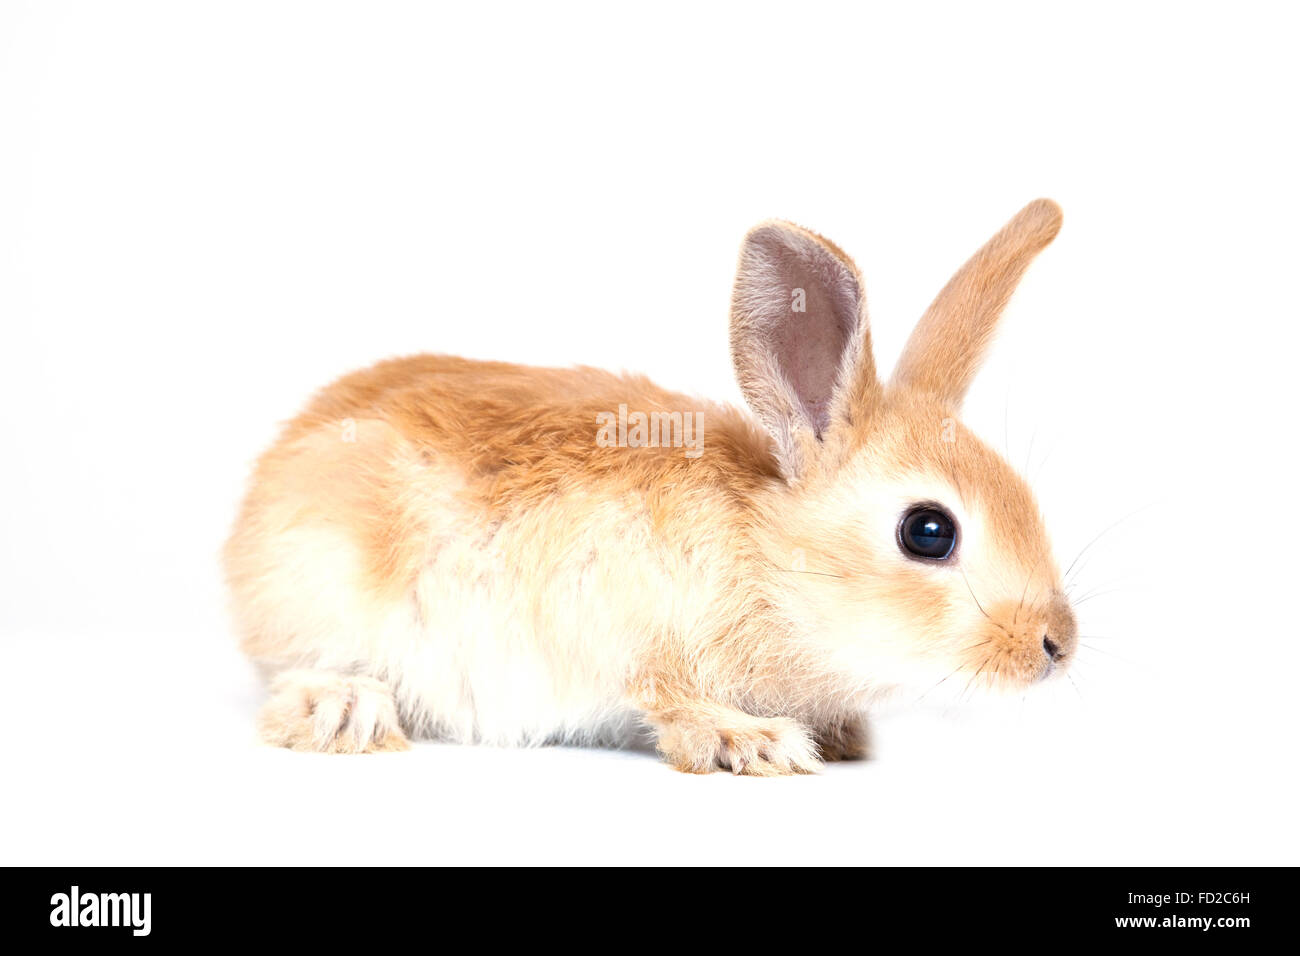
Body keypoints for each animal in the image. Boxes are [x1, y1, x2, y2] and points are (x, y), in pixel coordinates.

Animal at [224, 199, 1076, 774]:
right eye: (928, 532)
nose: (1056, 646)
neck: (773, 559)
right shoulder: (632, 631)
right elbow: (670, 698)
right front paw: (754, 742)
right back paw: (345, 712)